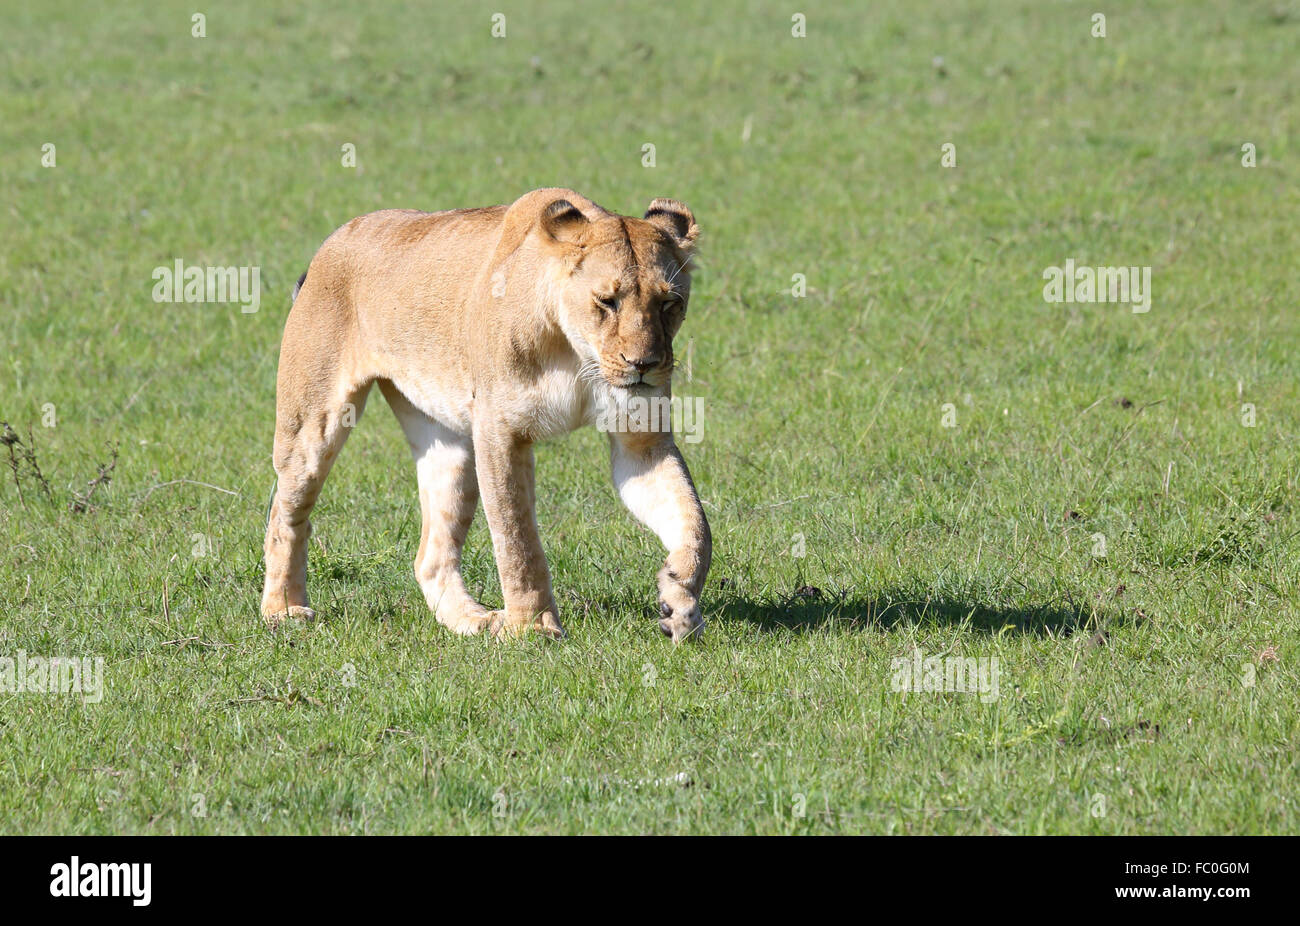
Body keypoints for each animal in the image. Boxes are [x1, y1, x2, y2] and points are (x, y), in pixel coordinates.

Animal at [260, 188, 711, 643]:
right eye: (607, 301)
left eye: (669, 303)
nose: (644, 364)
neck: (580, 353)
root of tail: (334, 240)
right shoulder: (499, 430)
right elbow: (517, 539)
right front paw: (534, 628)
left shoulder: (642, 441)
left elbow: (694, 522)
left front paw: (680, 601)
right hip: (312, 425)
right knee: (285, 516)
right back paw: (282, 611)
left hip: (448, 445)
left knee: (430, 557)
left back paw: (474, 620)